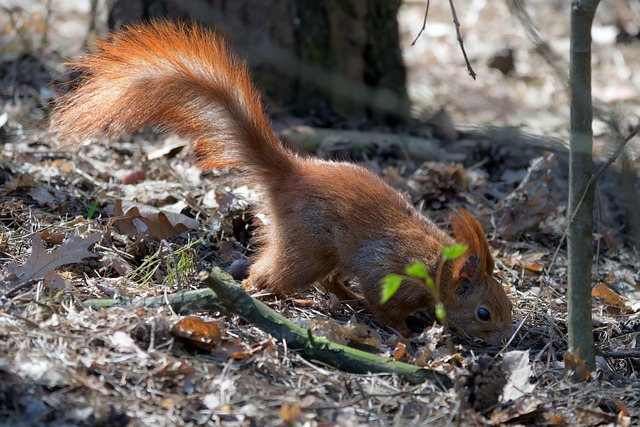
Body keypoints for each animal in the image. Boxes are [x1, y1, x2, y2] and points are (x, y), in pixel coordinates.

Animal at [49, 21, 513, 345]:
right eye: (484, 313)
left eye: (506, 301)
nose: (507, 337)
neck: (438, 266)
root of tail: (292, 172)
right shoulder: (391, 271)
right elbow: (385, 307)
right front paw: (407, 331)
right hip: (307, 247)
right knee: (270, 274)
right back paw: (264, 295)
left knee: (325, 278)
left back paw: (339, 296)